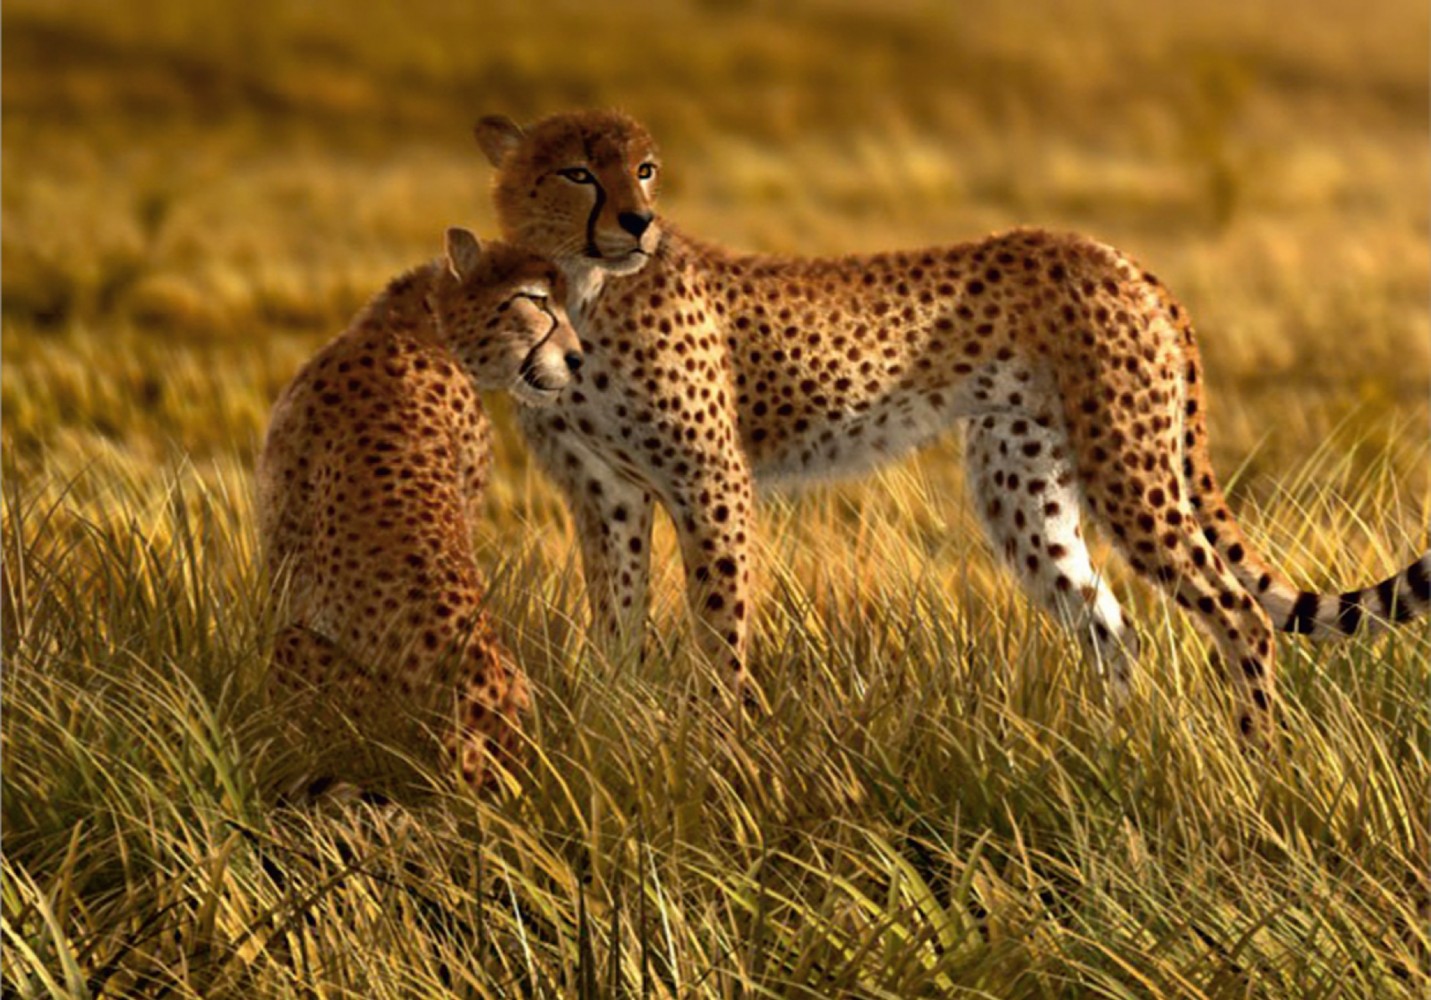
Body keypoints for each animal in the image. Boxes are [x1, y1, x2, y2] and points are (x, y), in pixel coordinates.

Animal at [472, 109, 1430, 744]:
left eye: (644, 168)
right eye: (578, 172)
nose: (639, 222)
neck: (583, 287)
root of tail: (1118, 255)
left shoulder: (710, 480)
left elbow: (719, 620)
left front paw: (723, 742)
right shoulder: (605, 495)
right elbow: (616, 614)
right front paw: (618, 720)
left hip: (1127, 467)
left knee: (1237, 613)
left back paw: (1252, 759)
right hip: (1024, 487)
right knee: (1109, 622)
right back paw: (1112, 758)